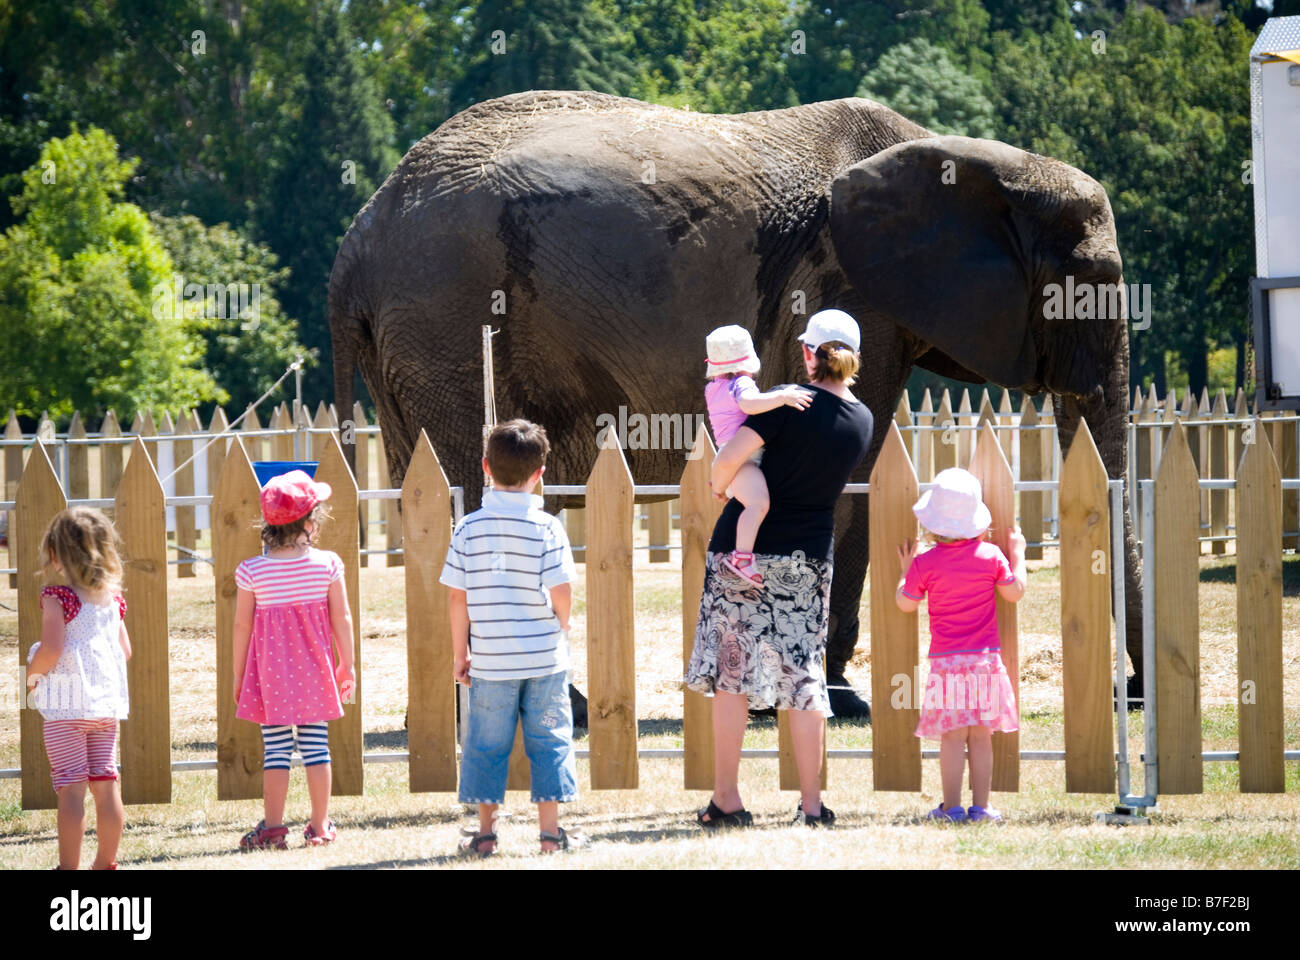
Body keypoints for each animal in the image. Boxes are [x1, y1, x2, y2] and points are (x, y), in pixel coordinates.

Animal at [330, 90, 1144, 718]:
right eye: (1091, 283)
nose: (1127, 696)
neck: (964, 159)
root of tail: (357, 237)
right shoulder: (851, 294)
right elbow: (852, 468)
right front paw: (837, 702)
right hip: (448, 320)